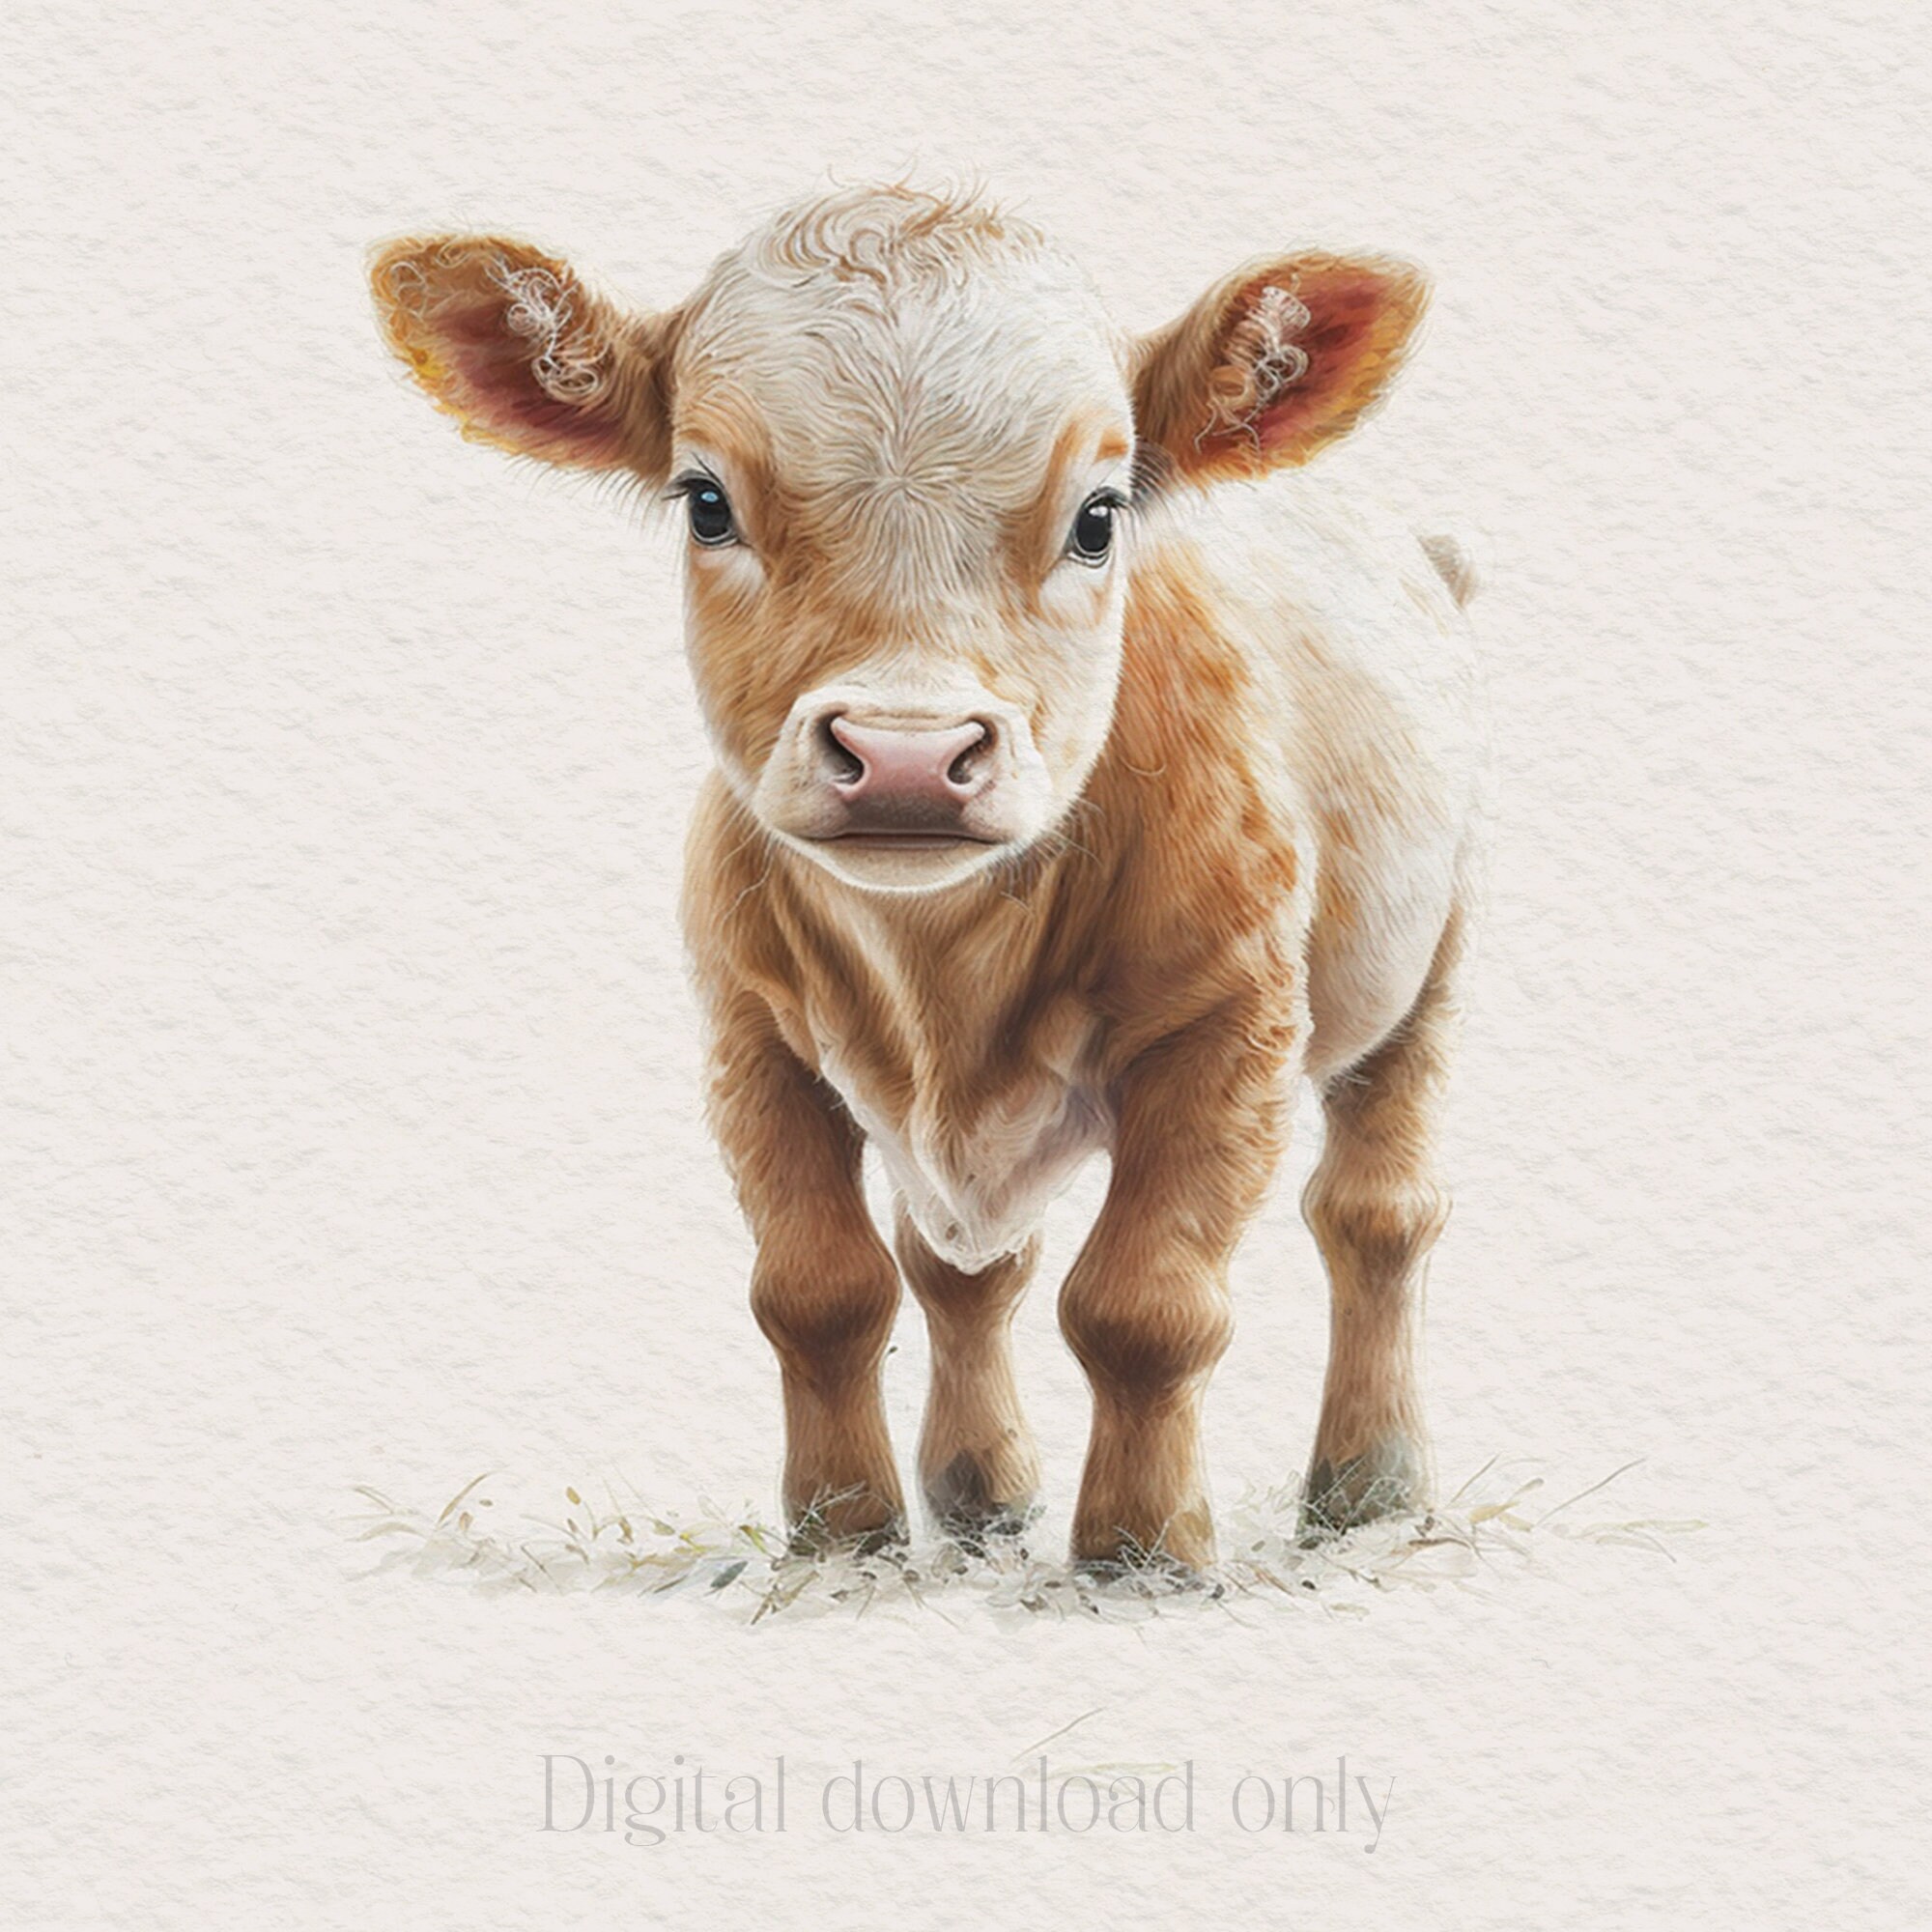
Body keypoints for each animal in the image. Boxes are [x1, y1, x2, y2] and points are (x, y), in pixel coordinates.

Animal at [370, 183, 1483, 1573]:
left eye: (1099, 516)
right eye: (705, 501)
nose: (905, 755)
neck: (943, 967)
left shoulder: (1230, 1025)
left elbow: (1146, 1305)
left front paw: (1144, 1553)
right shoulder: (749, 1036)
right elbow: (822, 1289)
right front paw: (844, 1534)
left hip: (1426, 971)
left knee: (1376, 1213)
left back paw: (1369, 1488)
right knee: (963, 1271)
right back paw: (976, 1491)